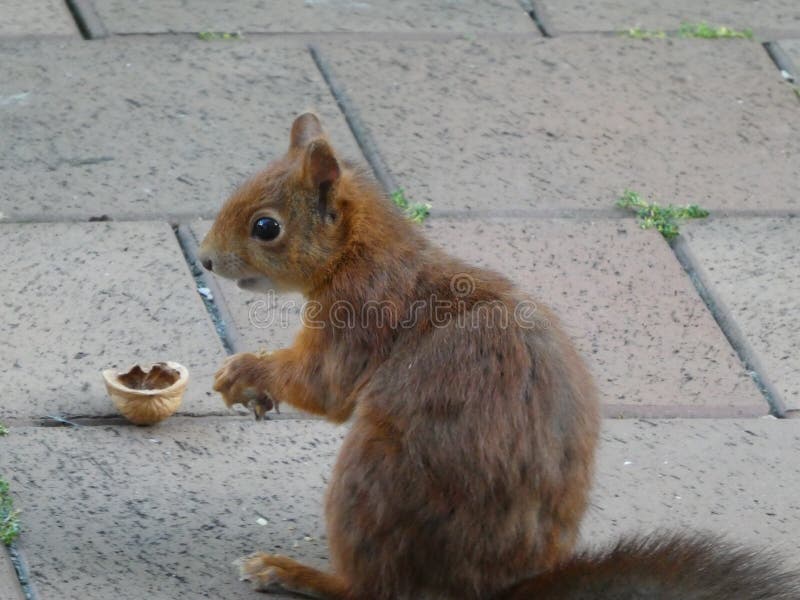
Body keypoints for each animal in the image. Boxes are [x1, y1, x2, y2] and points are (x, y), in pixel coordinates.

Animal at [198, 113, 798, 600]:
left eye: (266, 227)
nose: (203, 260)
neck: (360, 251)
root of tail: (487, 587)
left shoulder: (362, 315)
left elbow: (325, 386)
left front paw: (244, 372)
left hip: (372, 479)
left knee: (372, 589)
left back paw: (294, 573)